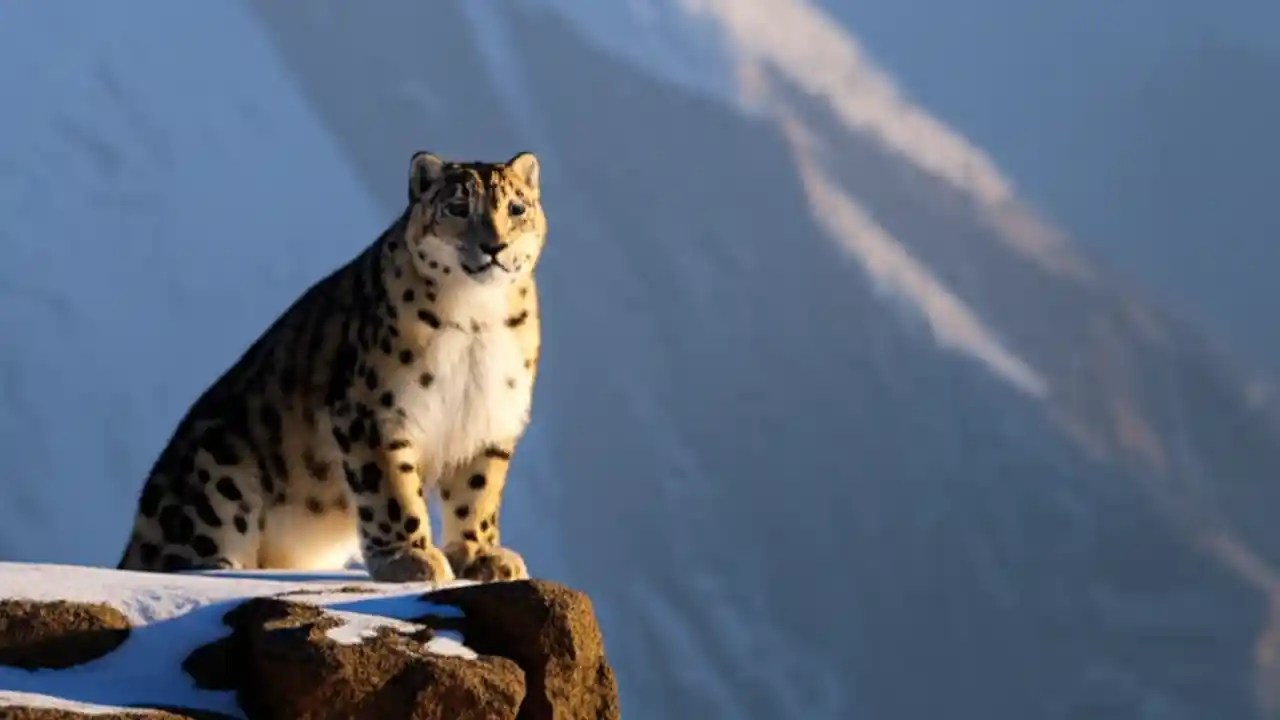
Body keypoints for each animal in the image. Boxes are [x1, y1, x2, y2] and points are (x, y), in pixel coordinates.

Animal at [116, 150, 545, 584]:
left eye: (516, 208)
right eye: (458, 207)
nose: (495, 246)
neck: (477, 317)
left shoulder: (488, 417)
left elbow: (477, 492)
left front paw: (481, 555)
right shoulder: (374, 414)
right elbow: (391, 491)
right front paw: (410, 559)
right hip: (216, 471)